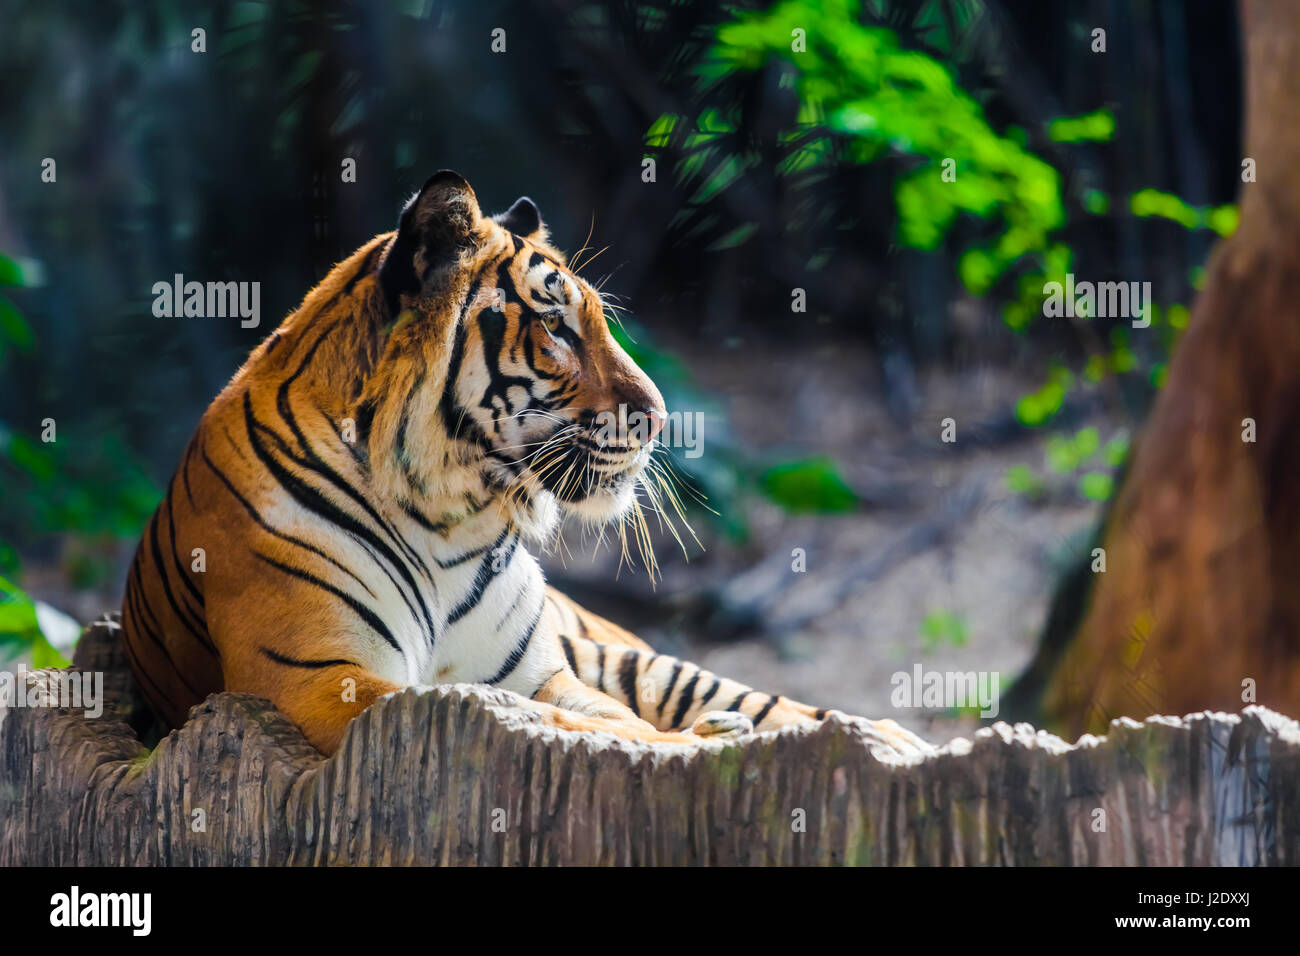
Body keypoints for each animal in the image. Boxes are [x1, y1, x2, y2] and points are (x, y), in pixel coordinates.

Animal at [119, 170, 929, 757]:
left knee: (757, 697)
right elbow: (593, 727)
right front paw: (694, 745)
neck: (444, 517)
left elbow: (607, 719)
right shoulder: (319, 682)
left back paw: (888, 738)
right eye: (556, 326)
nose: (661, 417)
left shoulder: (542, 672)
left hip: (623, 651)